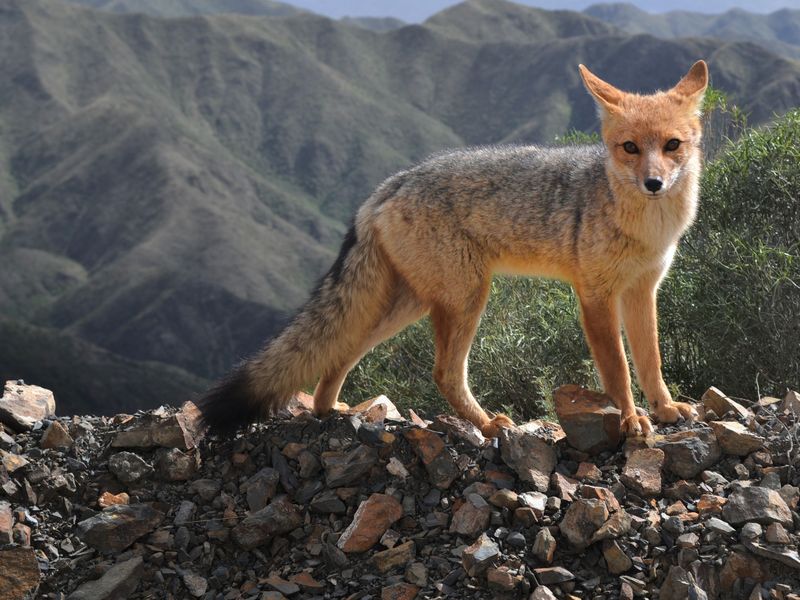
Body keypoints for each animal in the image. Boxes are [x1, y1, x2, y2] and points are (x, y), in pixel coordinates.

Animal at [199, 60, 708, 439]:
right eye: (629, 148)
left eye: (672, 145)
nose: (654, 183)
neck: (647, 228)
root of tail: (388, 185)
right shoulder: (596, 297)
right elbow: (618, 370)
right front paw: (631, 420)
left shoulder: (642, 291)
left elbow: (650, 359)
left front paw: (664, 408)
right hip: (465, 299)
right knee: (443, 373)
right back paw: (487, 424)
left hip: (410, 304)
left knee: (341, 349)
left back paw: (330, 409)